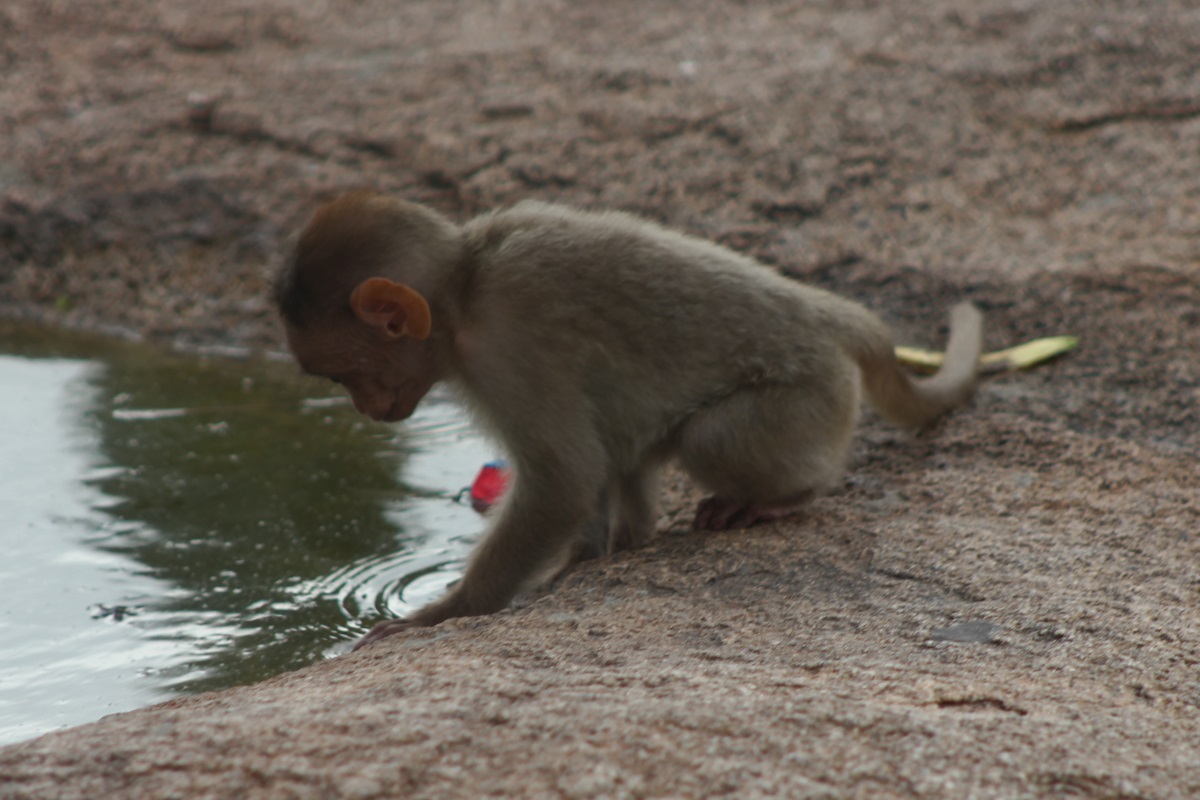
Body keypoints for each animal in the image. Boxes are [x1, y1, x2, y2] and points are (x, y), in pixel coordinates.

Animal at [273, 190, 983, 649]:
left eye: (341, 376)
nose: (367, 410)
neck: (464, 287)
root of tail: (831, 313)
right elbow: (585, 469)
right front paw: (578, 561)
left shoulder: (508, 346)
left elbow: (564, 476)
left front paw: (445, 614)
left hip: (812, 398)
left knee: (709, 437)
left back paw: (783, 497)